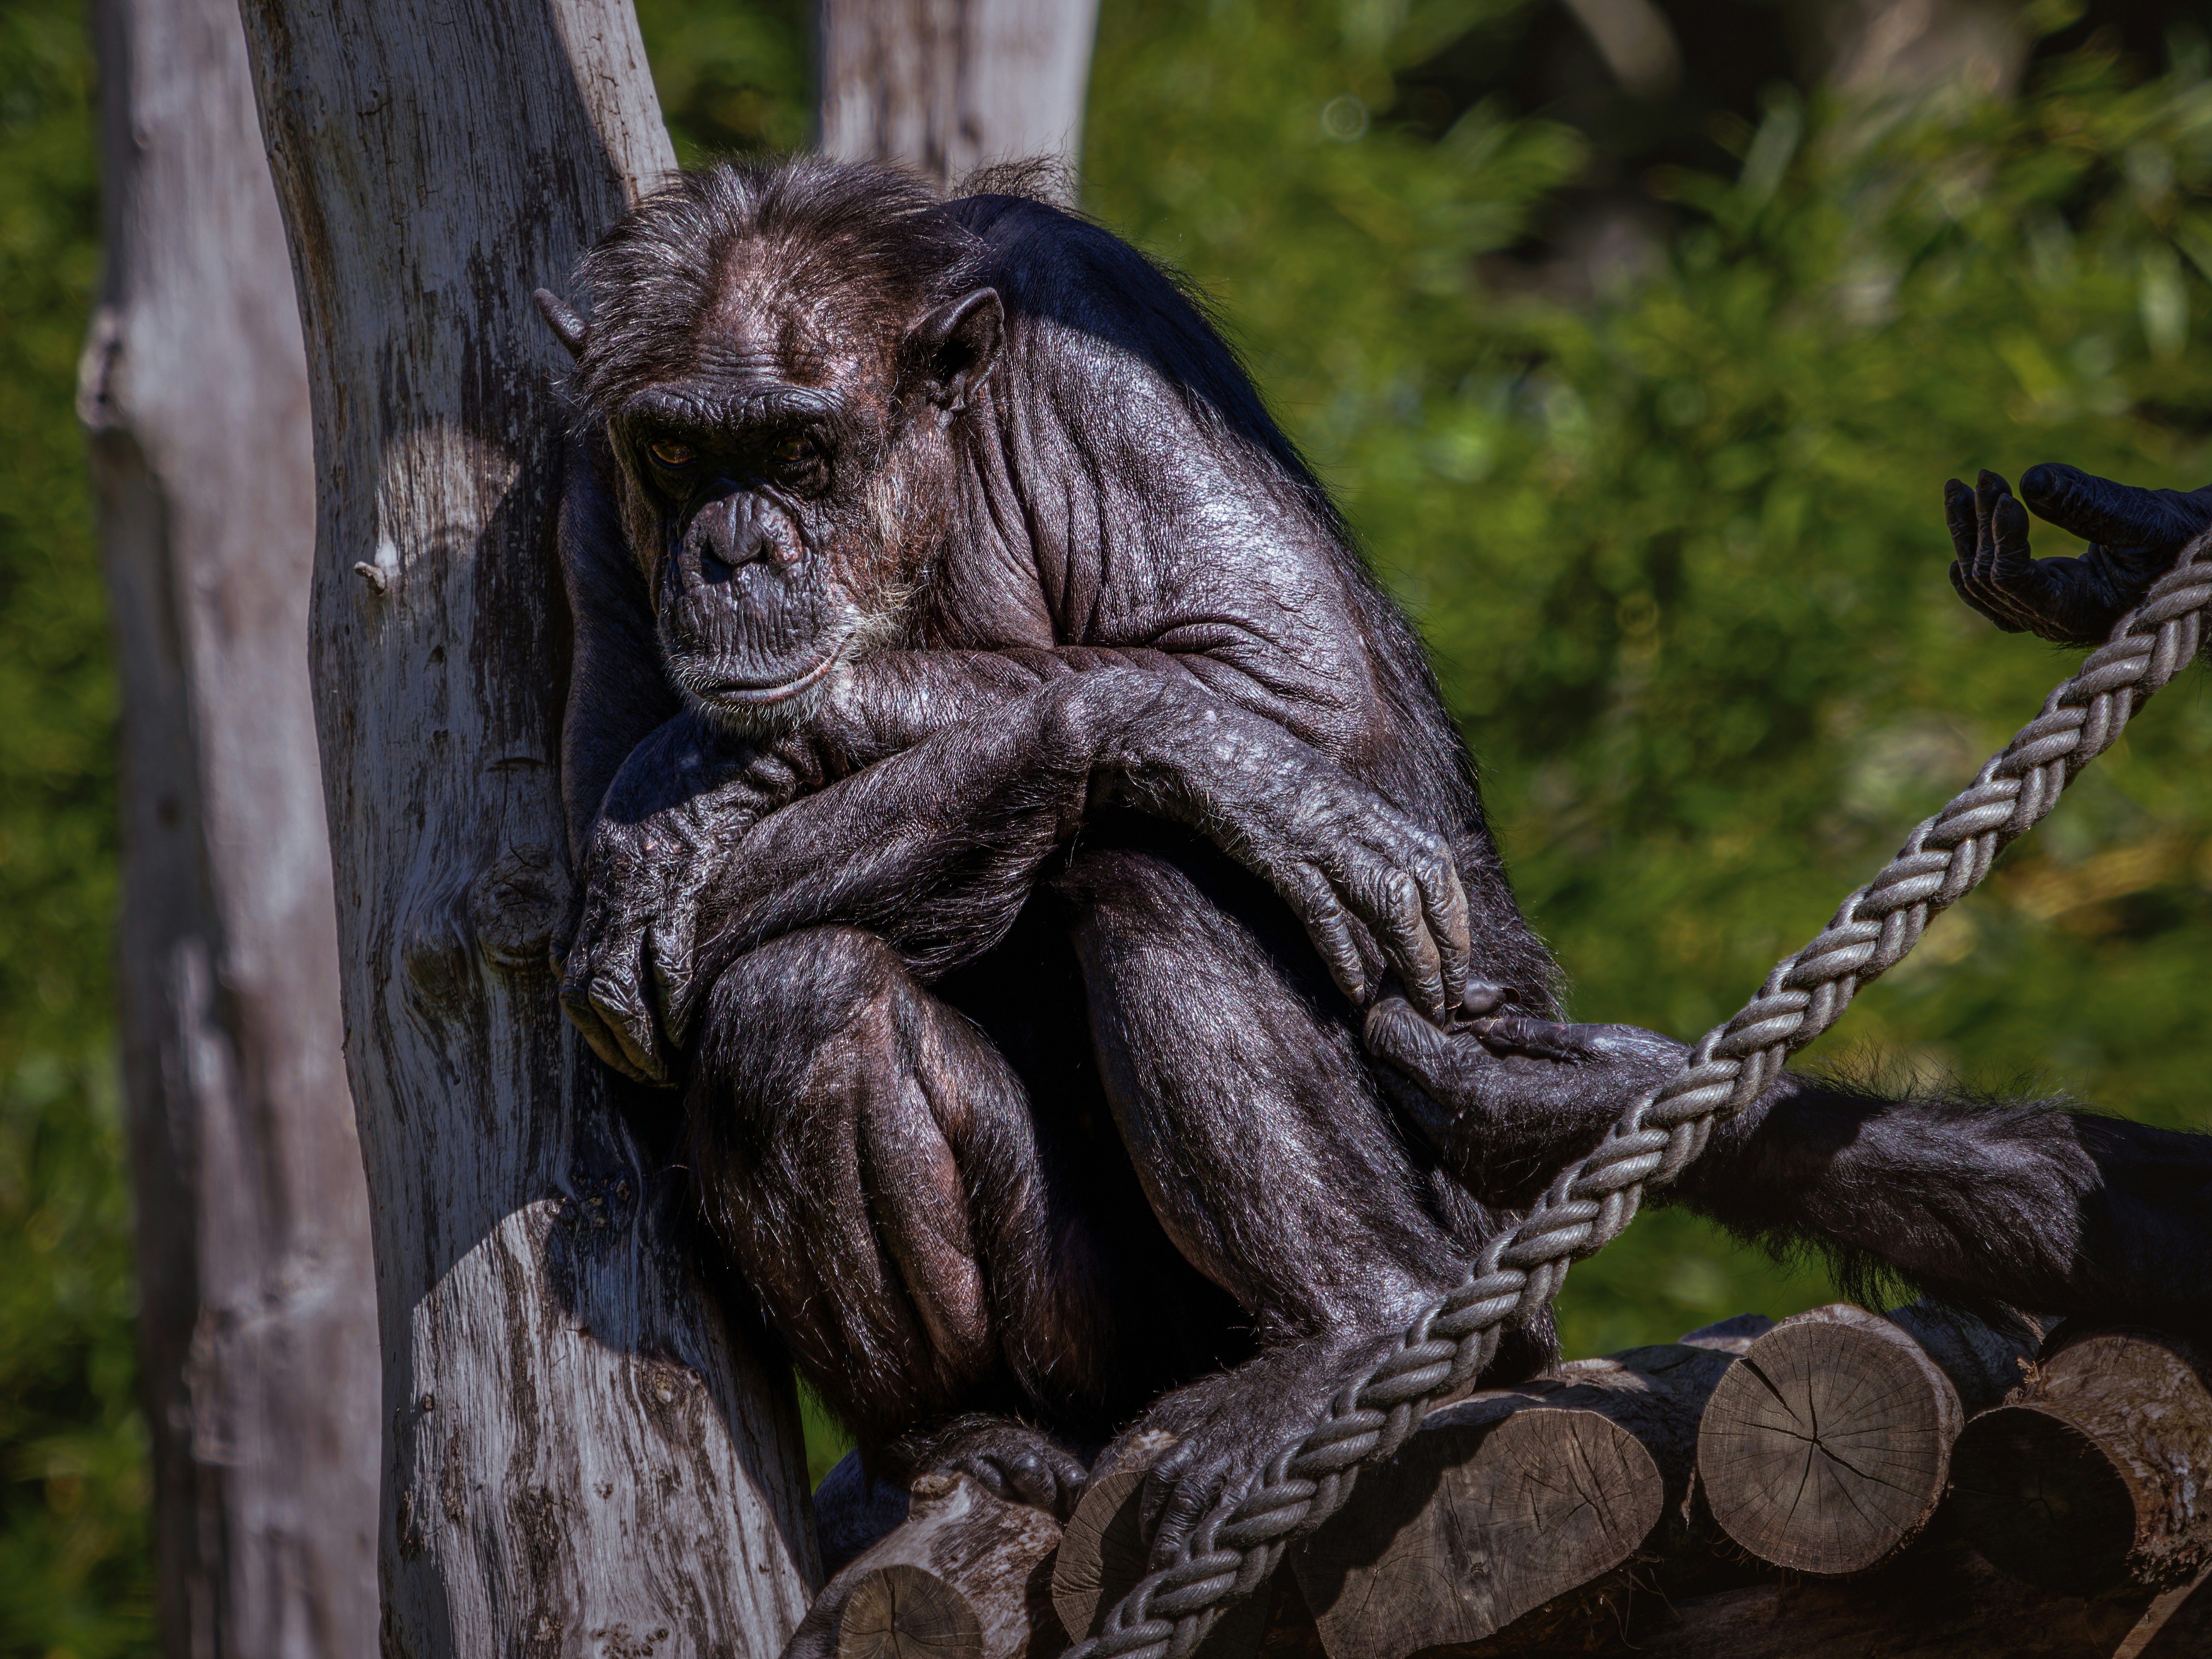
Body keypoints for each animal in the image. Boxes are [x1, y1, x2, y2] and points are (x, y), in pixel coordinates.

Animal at [541, 158, 2212, 1569]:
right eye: (680, 451)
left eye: (799, 449)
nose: (733, 548)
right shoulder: (576, 498)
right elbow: (599, 926)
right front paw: (687, 798)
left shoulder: (1101, 363)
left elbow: (1292, 695)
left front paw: (714, 774)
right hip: (1101, 1358)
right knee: (801, 1004)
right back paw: (972, 1444)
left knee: (1160, 855)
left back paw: (1360, 1332)